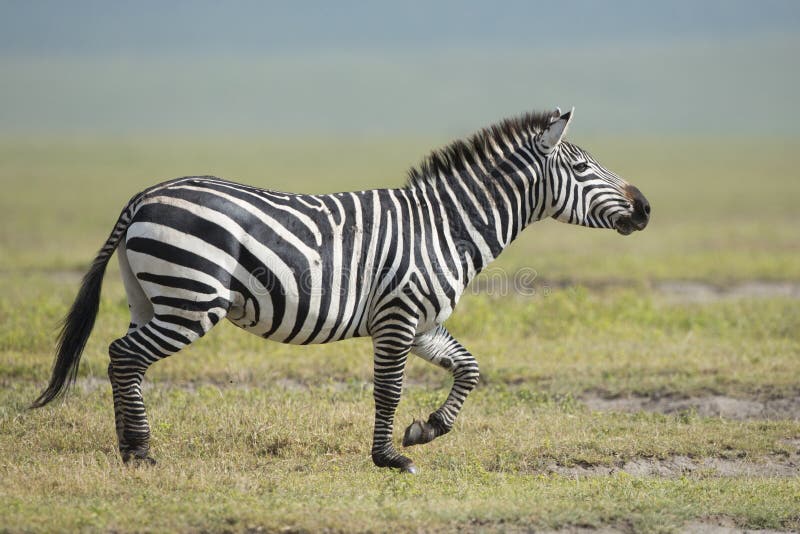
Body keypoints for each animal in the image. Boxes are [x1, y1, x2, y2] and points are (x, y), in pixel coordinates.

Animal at [31, 108, 650, 473]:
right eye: (583, 167)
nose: (645, 208)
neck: (444, 225)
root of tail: (145, 195)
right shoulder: (399, 316)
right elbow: (388, 391)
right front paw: (389, 457)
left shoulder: (422, 323)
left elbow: (470, 369)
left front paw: (426, 431)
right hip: (191, 299)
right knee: (122, 355)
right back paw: (139, 452)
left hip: (151, 297)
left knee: (125, 361)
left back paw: (130, 446)